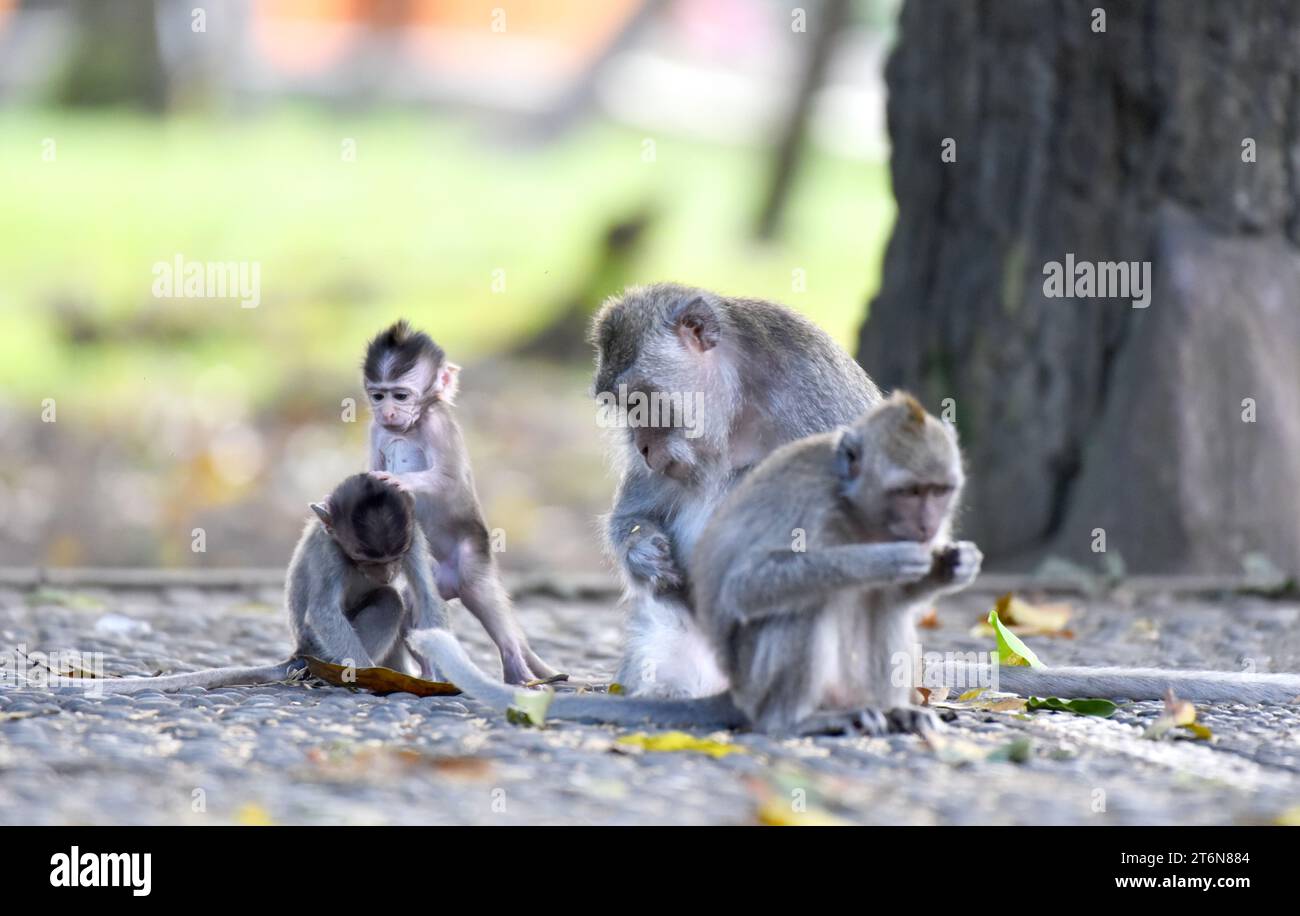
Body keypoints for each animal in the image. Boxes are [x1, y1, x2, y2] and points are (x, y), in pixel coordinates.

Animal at [89, 474, 451, 694]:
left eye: (395, 556)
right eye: (364, 558)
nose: (386, 573)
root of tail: (299, 654)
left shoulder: (413, 537)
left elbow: (427, 597)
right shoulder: (331, 550)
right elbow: (322, 612)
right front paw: (364, 678)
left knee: (396, 598)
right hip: (319, 650)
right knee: (390, 601)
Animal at [363, 320, 560, 685]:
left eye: (401, 395)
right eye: (378, 395)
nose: (388, 411)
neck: (409, 427)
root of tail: (448, 583)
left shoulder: (437, 423)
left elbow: (449, 479)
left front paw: (399, 482)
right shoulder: (375, 429)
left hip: (472, 554)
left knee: (477, 590)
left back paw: (516, 668)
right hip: (432, 576)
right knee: (412, 606)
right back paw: (429, 673)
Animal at [591, 282, 882, 699]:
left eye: (639, 401)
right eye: (628, 407)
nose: (643, 448)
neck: (736, 404)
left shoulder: (817, 395)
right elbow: (633, 515)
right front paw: (643, 551)